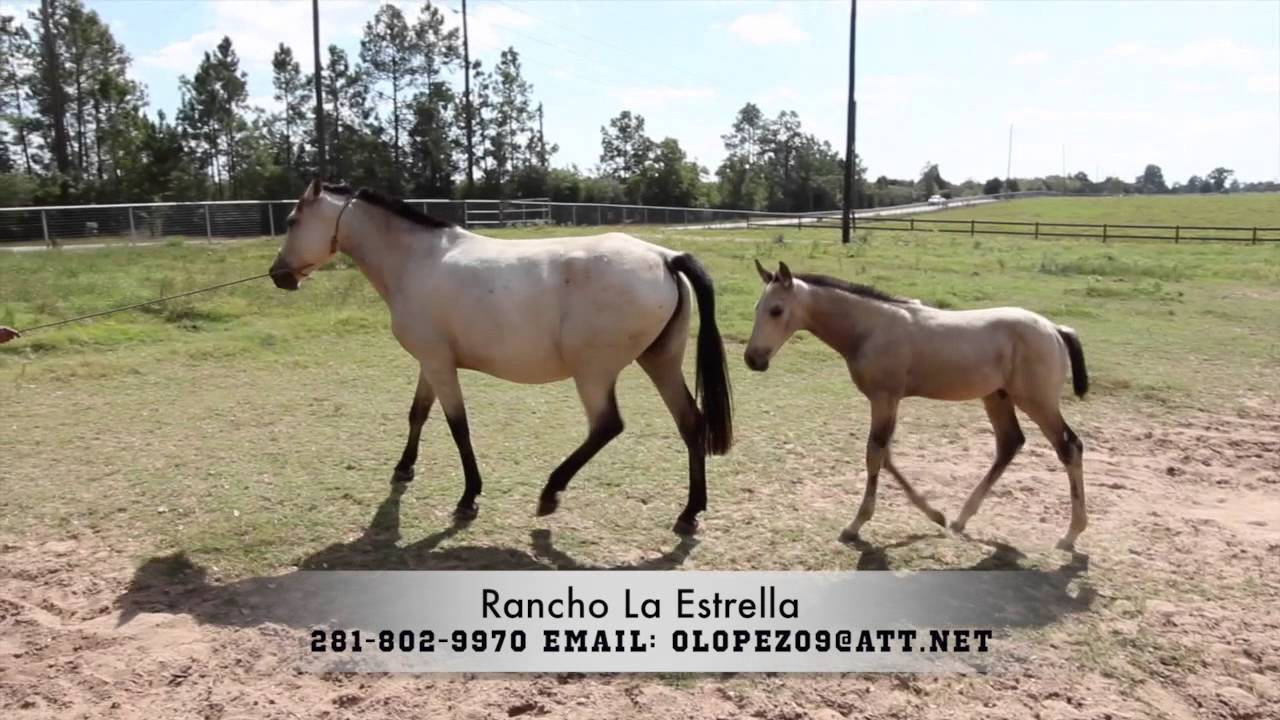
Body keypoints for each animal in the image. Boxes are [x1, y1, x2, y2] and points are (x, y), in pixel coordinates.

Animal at [267, 179, 733, 535]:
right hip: (660, 362)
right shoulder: (430, 363)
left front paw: (468, 498)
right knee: (691, 424)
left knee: (607, 426)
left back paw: (550, 493)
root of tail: (664, 257)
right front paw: (404, 470)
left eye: (292, 221)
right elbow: (418, 414)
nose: (278, 275)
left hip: (594, 373)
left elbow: (458, 427)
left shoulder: (440, 366)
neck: (418, 260)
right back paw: (690, 513)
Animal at [743, 260, 1089, 550]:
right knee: (1009, 443)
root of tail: (1055, 330)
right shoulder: (888, 401)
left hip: (1037, 401)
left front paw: (855, 526)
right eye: (757, 306)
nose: (753, 360)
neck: (870, 328)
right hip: (997, 397)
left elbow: (875, 454)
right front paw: (935, 514)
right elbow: (885, 455)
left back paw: (1070, 535)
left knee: (1069, 447)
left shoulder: (884, 397)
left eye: (776, 310)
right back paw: (961, 519)